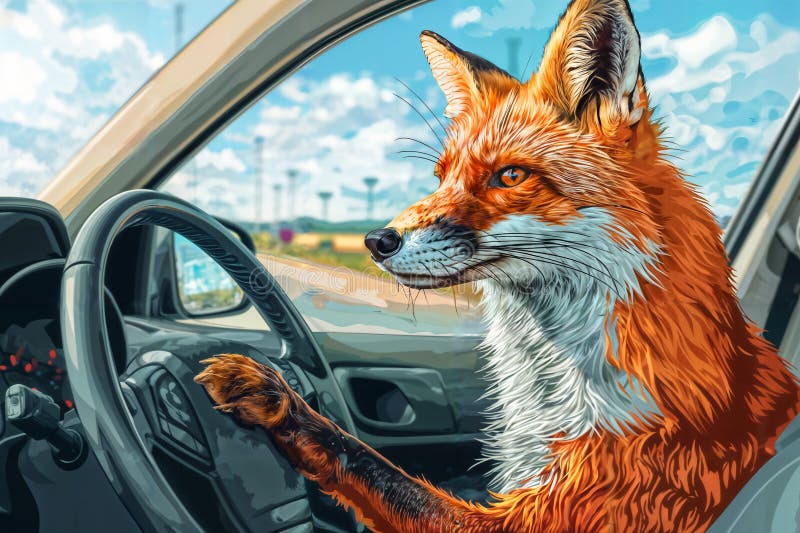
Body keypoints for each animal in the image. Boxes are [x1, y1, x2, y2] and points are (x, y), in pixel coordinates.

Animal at [195, 0, 800, 531]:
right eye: (441, 175)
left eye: (510, 176)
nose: (376, 241)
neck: (554, 394)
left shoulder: (549, 513)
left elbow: (373, 468)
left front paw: (279, 402)